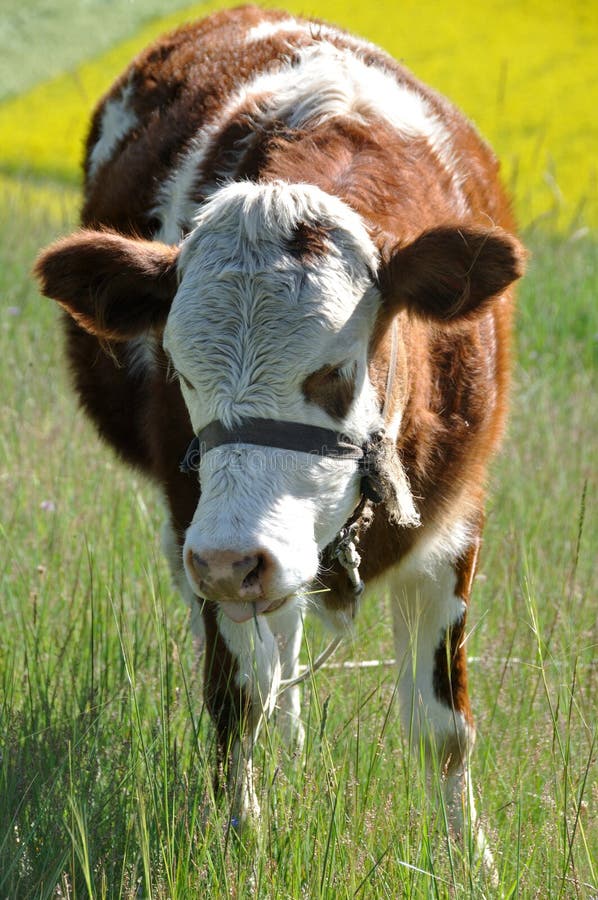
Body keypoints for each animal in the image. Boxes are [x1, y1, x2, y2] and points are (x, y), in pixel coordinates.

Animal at [35, 5, 524, 874]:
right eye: (181, 371)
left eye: (334, 370)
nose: (233, 558)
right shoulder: (201, 529)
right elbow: (239, 695)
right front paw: (240, 838)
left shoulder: (456, 522)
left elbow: (443, 725)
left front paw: (472, 861)